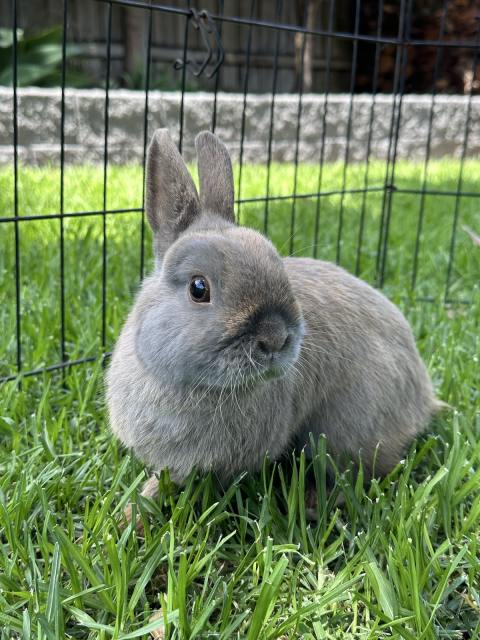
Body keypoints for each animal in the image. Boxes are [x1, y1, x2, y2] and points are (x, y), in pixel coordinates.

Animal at [106, 128, 441, 504]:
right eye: (198, 288)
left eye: (277, 263)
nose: (275, 338)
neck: (193, 385)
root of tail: (422, 395)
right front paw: (135, 508)